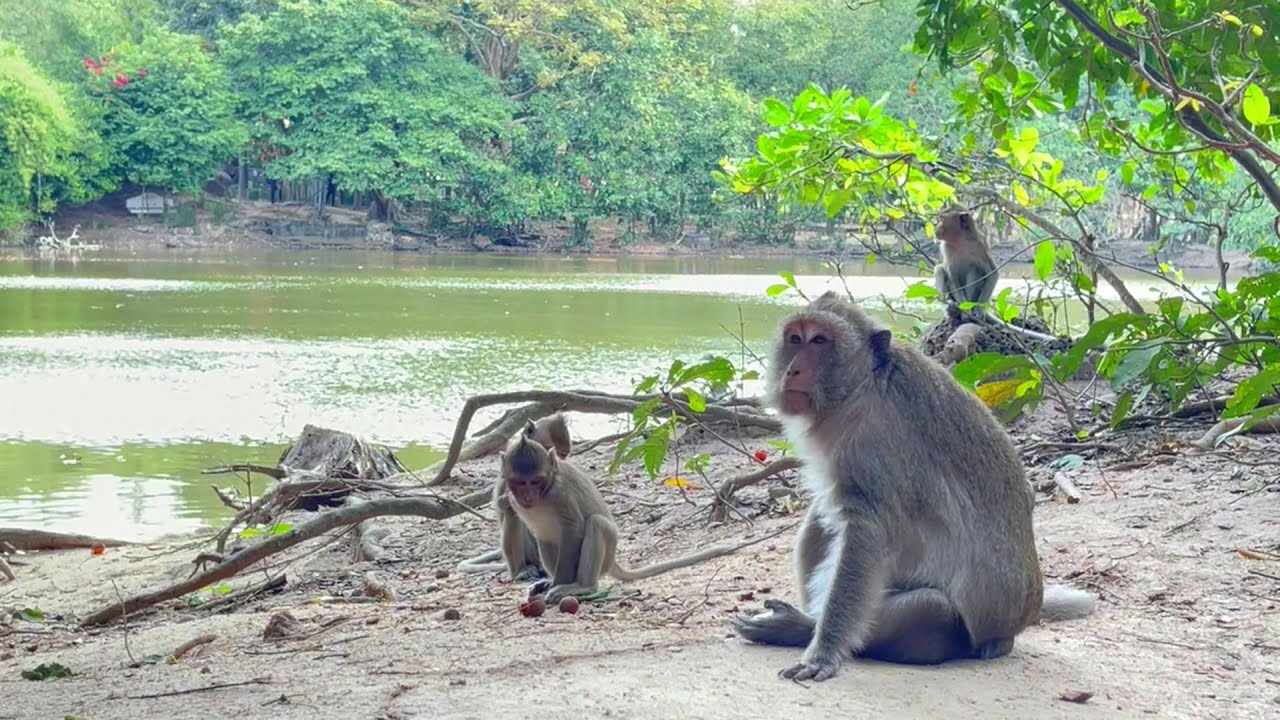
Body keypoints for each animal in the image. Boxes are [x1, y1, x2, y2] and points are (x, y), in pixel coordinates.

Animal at [456, 413, 572, 581]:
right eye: (544, 449)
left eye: (561, 454)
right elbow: (501, 504)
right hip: (530, 553)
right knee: (512, 513)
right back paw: (521, 570)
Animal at [498, 423, 777, 603]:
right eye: (519, 483)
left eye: (535, 481)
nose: (526, 497)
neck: (546, 491)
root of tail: (612, 561)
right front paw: (551, 582)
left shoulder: (561, 494)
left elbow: (574, 529)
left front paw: (560, 585)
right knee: (547, 538)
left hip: (605, 554)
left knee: (596, 524)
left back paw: (582, 586)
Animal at [732, 291, 1095, 682]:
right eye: (795, 339)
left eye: (819, 341)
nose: (793, 370)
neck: (864, 385)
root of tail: (1015, 628)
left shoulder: (873, 440)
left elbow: (867, 531)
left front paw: (822, 653)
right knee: (821, 520)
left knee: (930, 609)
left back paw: (801, 628)